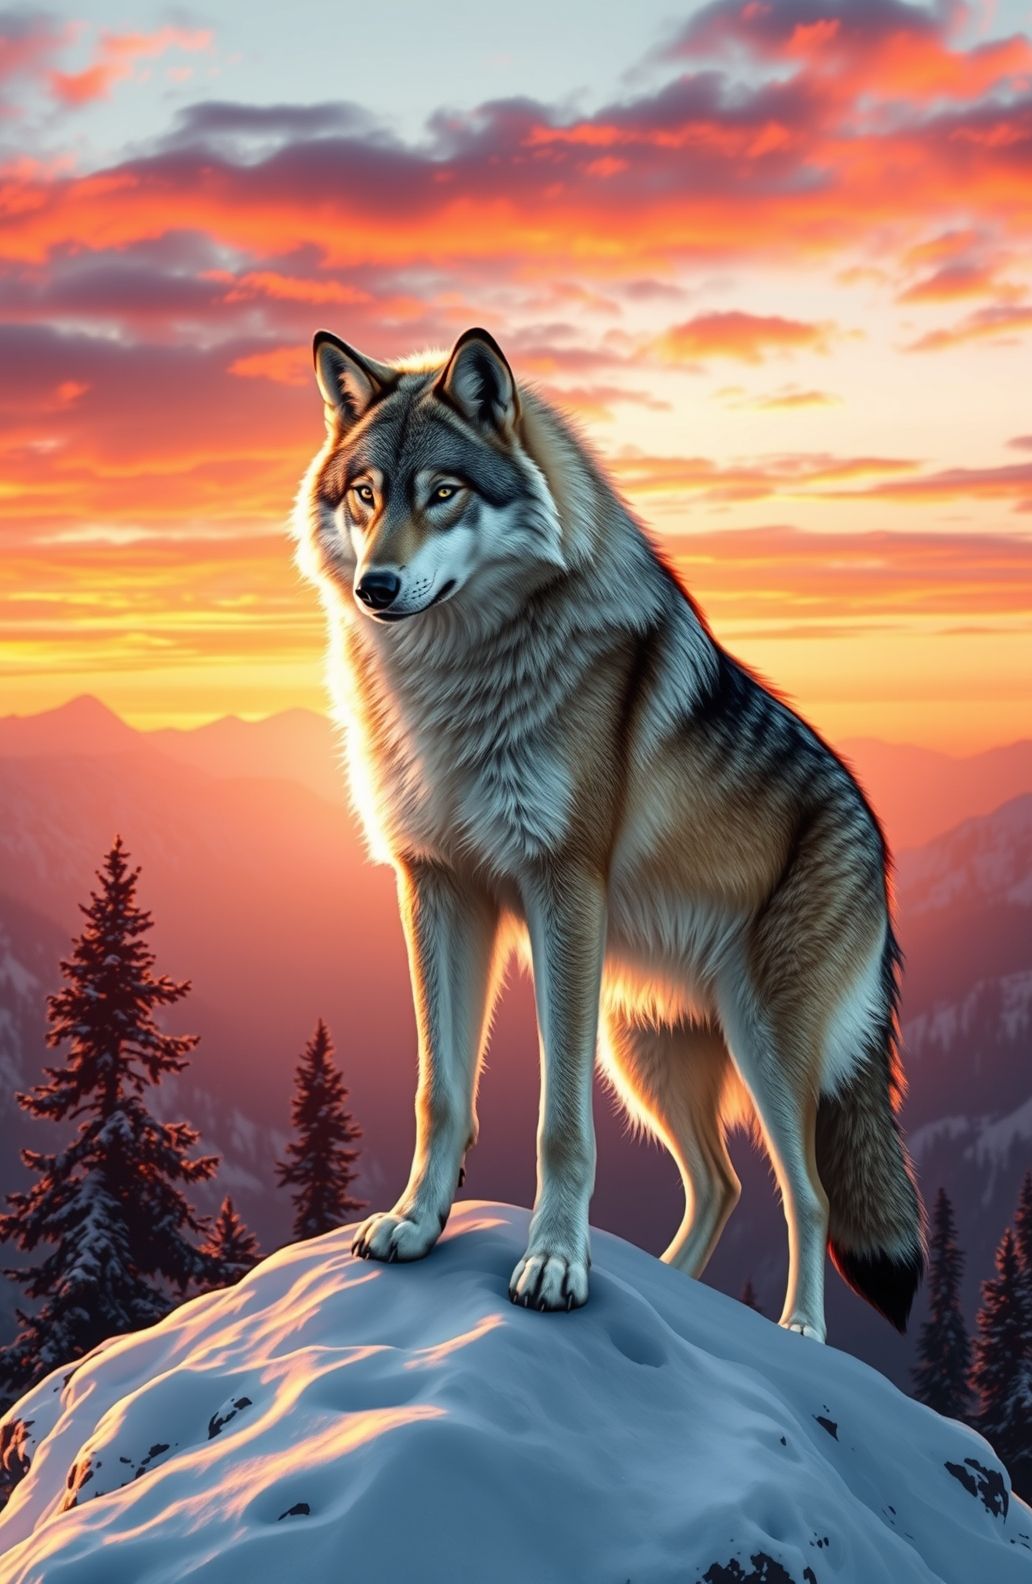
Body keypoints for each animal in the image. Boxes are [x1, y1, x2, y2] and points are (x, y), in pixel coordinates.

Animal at [292, 325, 926, 1340]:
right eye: (366, 493)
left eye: (444, 492)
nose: (376, 586)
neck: (455, 681)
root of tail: (877, 843)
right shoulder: (435, 884)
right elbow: (441, 1092)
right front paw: (415, 1223)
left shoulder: (562, 887)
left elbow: (560, 1127)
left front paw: (554, 1265)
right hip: (643, 1047)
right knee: (720, 1183)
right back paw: (670, 1288)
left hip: (761, 1046)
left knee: (810, 1197)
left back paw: (797, 1331)